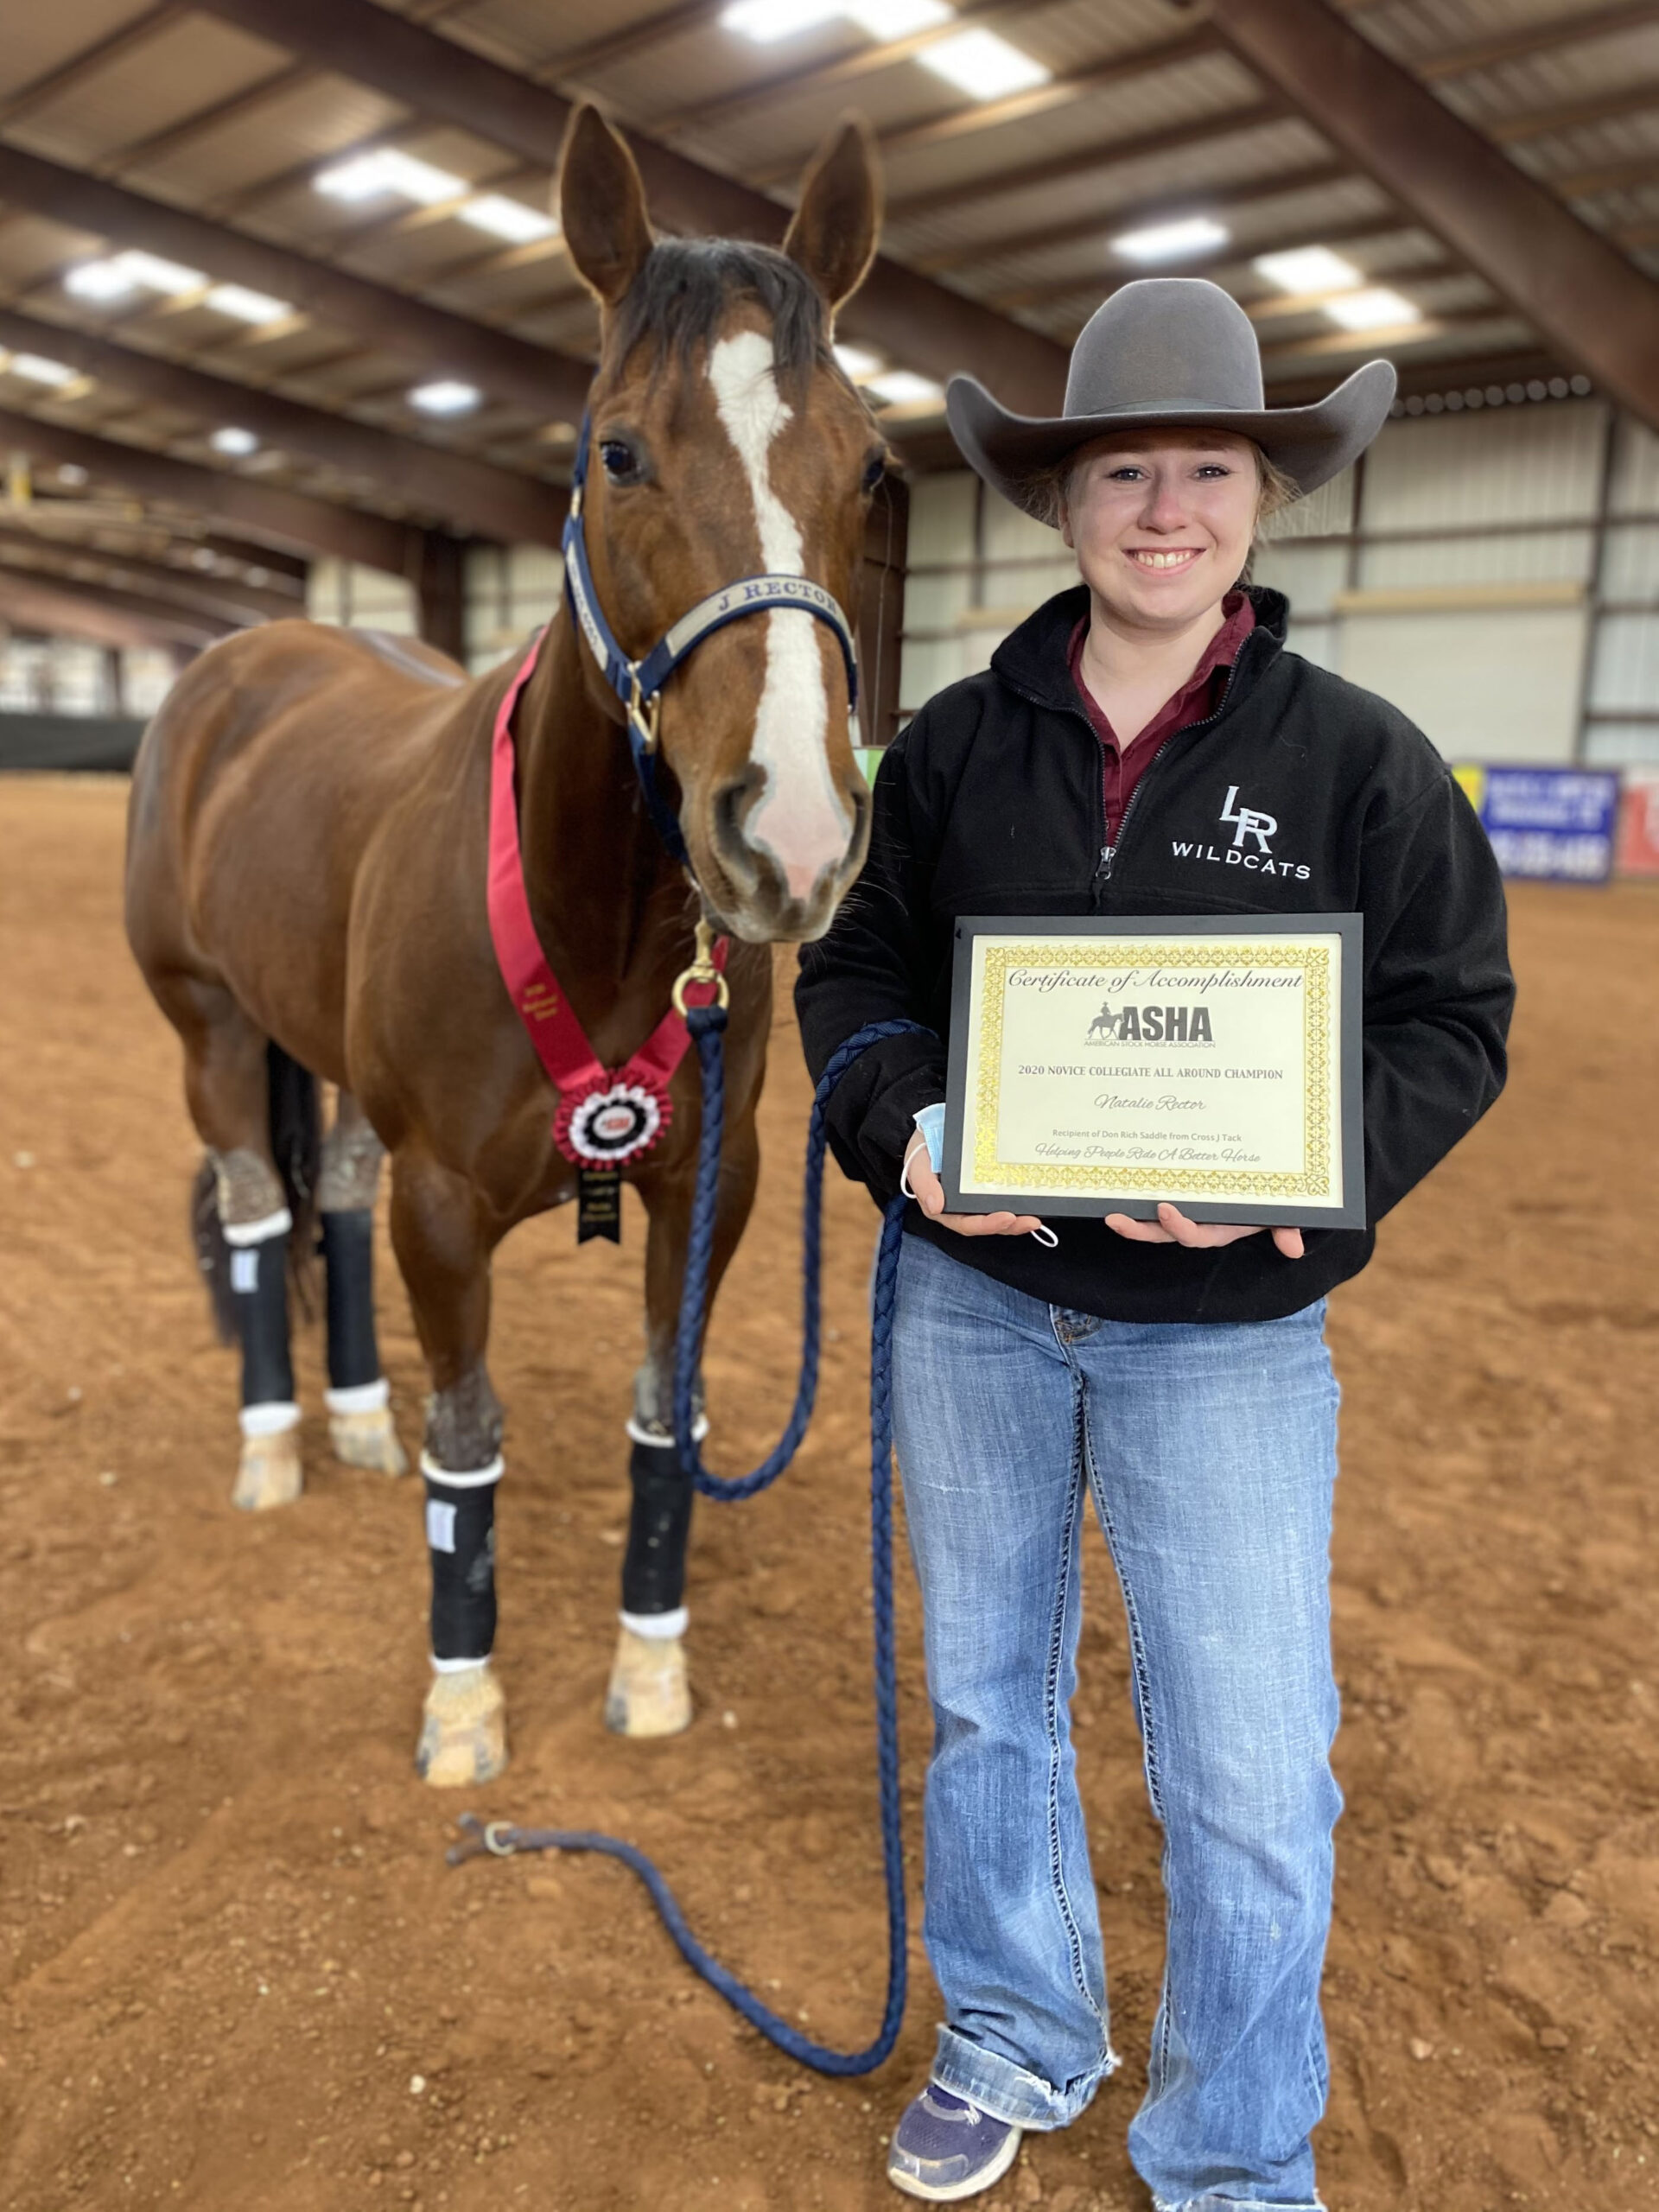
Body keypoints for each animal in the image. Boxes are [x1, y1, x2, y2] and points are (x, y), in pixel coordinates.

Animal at [124, 103, 884, 1787]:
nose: (792, 834)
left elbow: (666, 1427)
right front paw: (463, 1705)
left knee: (328, 1195)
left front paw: (651, 1671)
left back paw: (349, 1421)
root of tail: (244, 656)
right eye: (619, 451)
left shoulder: (709, 1186)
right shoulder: (447, 1211)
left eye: (872, 466)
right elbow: (468, 1451)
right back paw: (274, 1448)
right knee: (259, 1208)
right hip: (207, 1028)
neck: (591, 926)